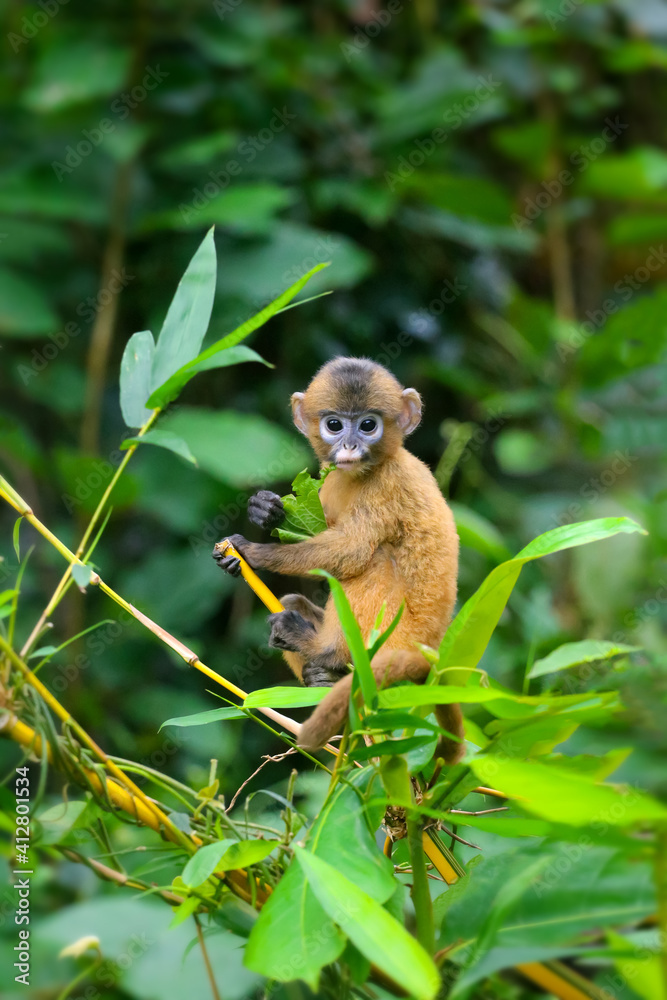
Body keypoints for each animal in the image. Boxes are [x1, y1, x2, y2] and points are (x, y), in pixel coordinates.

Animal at [213, 357, 464, 762]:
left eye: (368, 425)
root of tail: (426, 652)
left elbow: (351, 551)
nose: (349, 445)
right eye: (334, 425)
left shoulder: (389, 484)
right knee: (291, 600)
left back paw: (324, 650)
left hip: (390, 635)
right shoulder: (332, 481)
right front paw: (264, 513)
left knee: (374, 559)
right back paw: (320, 671)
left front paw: (251, 551)